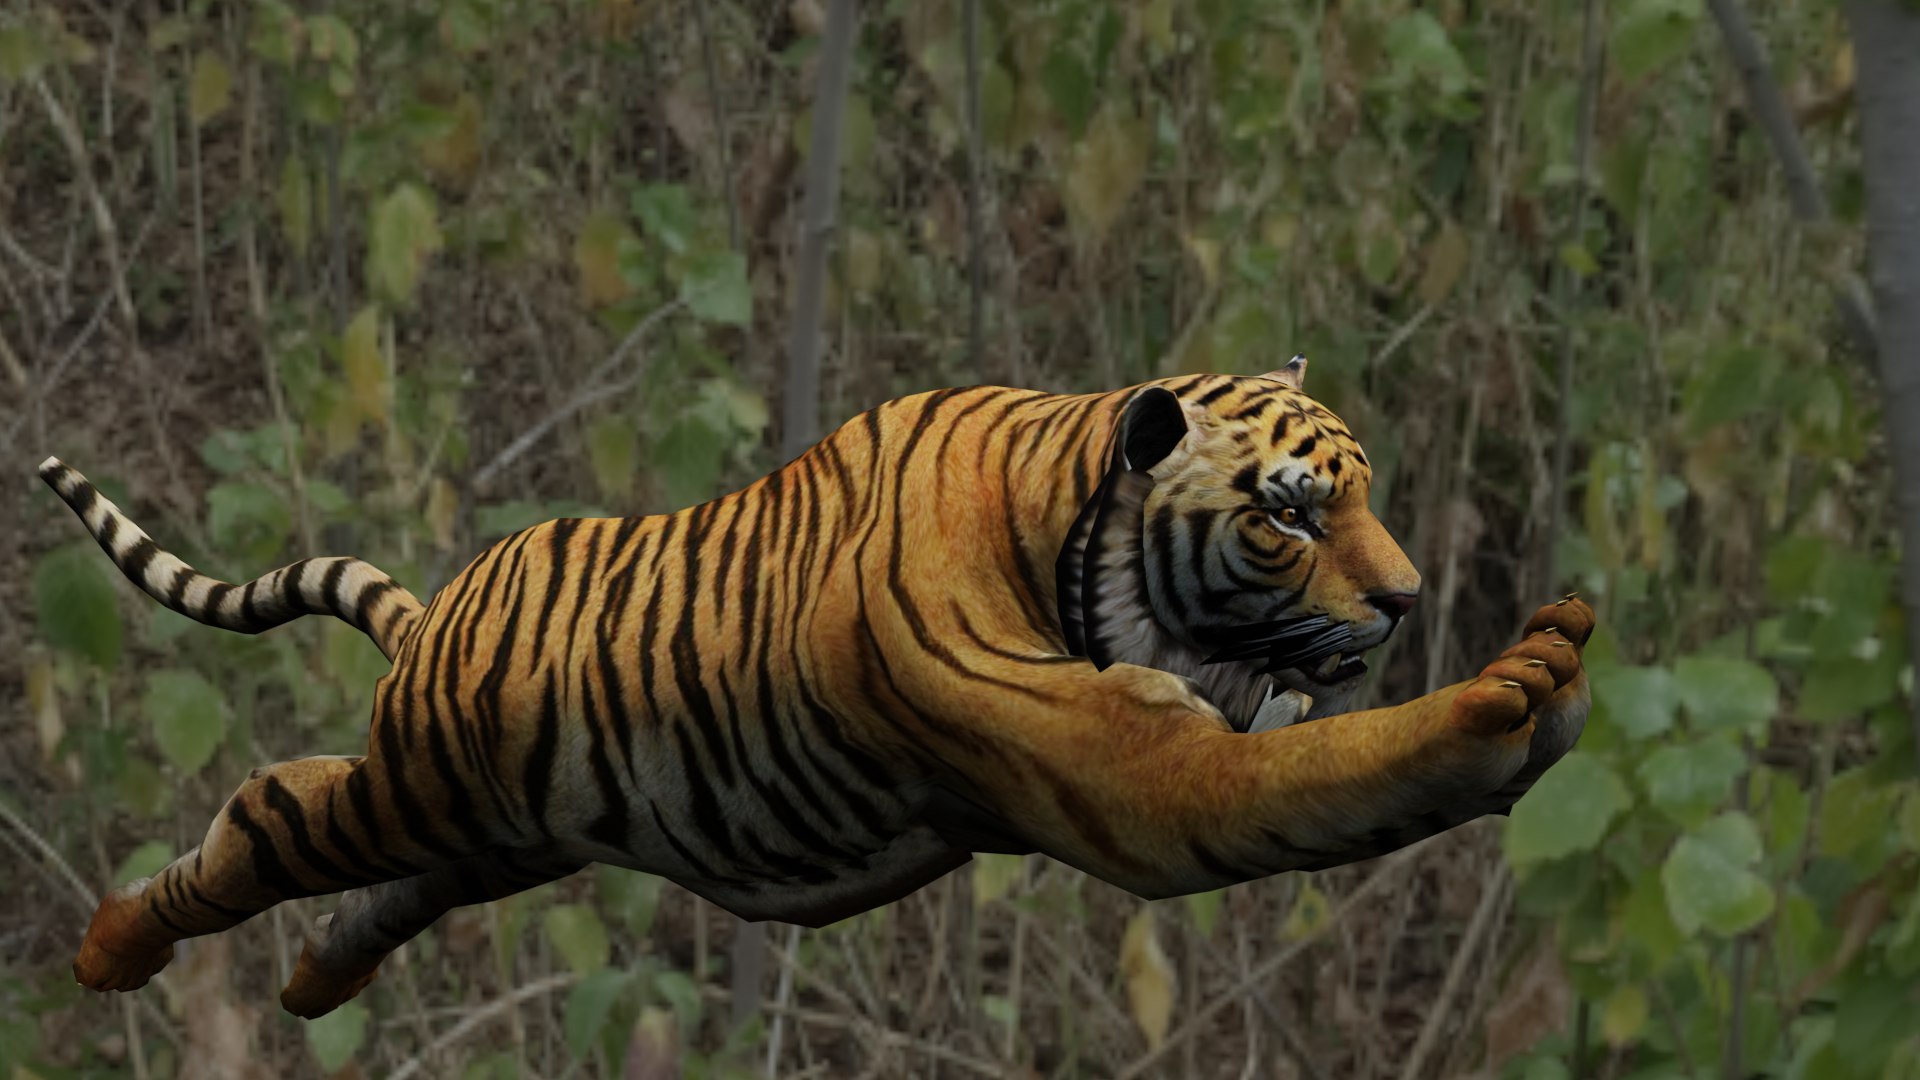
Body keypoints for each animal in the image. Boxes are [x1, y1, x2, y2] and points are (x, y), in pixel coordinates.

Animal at [39, 360, 1592, 1020]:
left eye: (1366, 496)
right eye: (1285, 513)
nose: (1404, 603)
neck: (1065, 520)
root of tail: (444, 610)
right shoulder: (1115, 762)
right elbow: (1319, 780)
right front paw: (1513, 699)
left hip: (497, 831)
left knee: (364, 873)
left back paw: (309, 988)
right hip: (424, 781)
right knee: (272, 808)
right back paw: (108, 953)